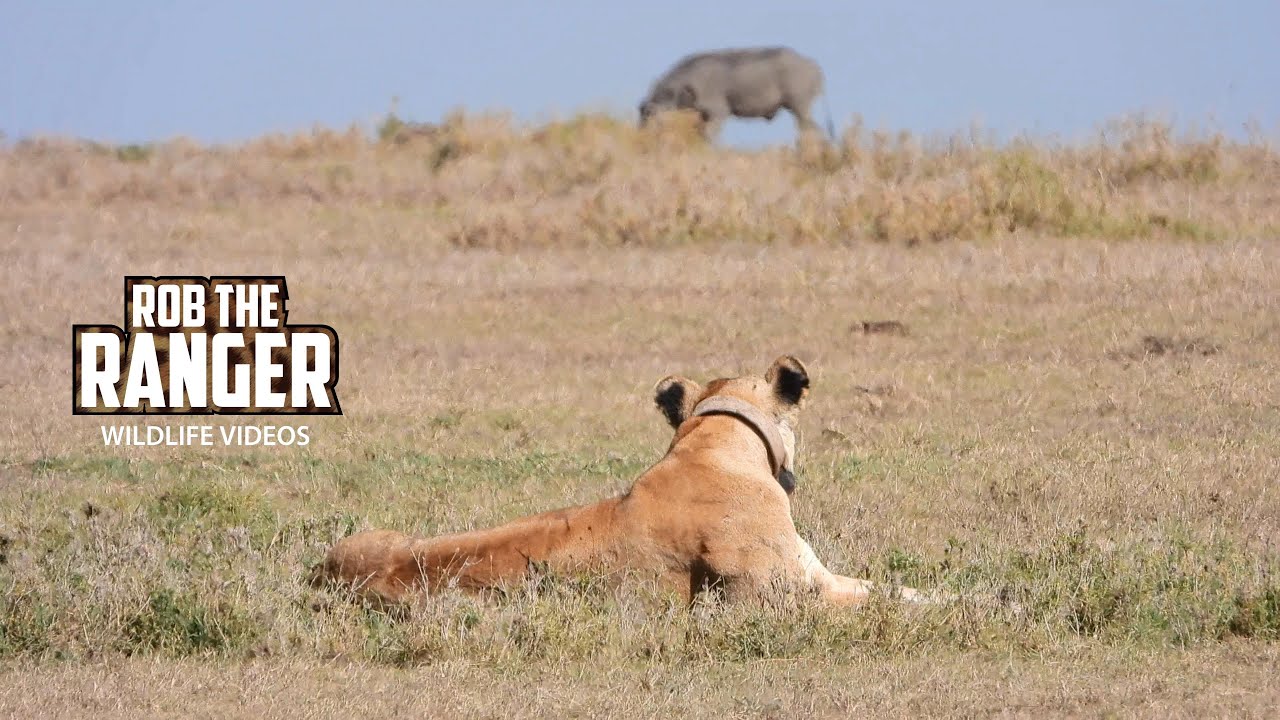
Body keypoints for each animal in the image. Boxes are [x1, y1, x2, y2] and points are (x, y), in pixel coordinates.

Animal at [310, 355, 928, 607]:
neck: (714, 442)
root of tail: (325, 576)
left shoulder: (819, 576)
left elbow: (895, 589)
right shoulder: (785, 598)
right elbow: (885, 603)